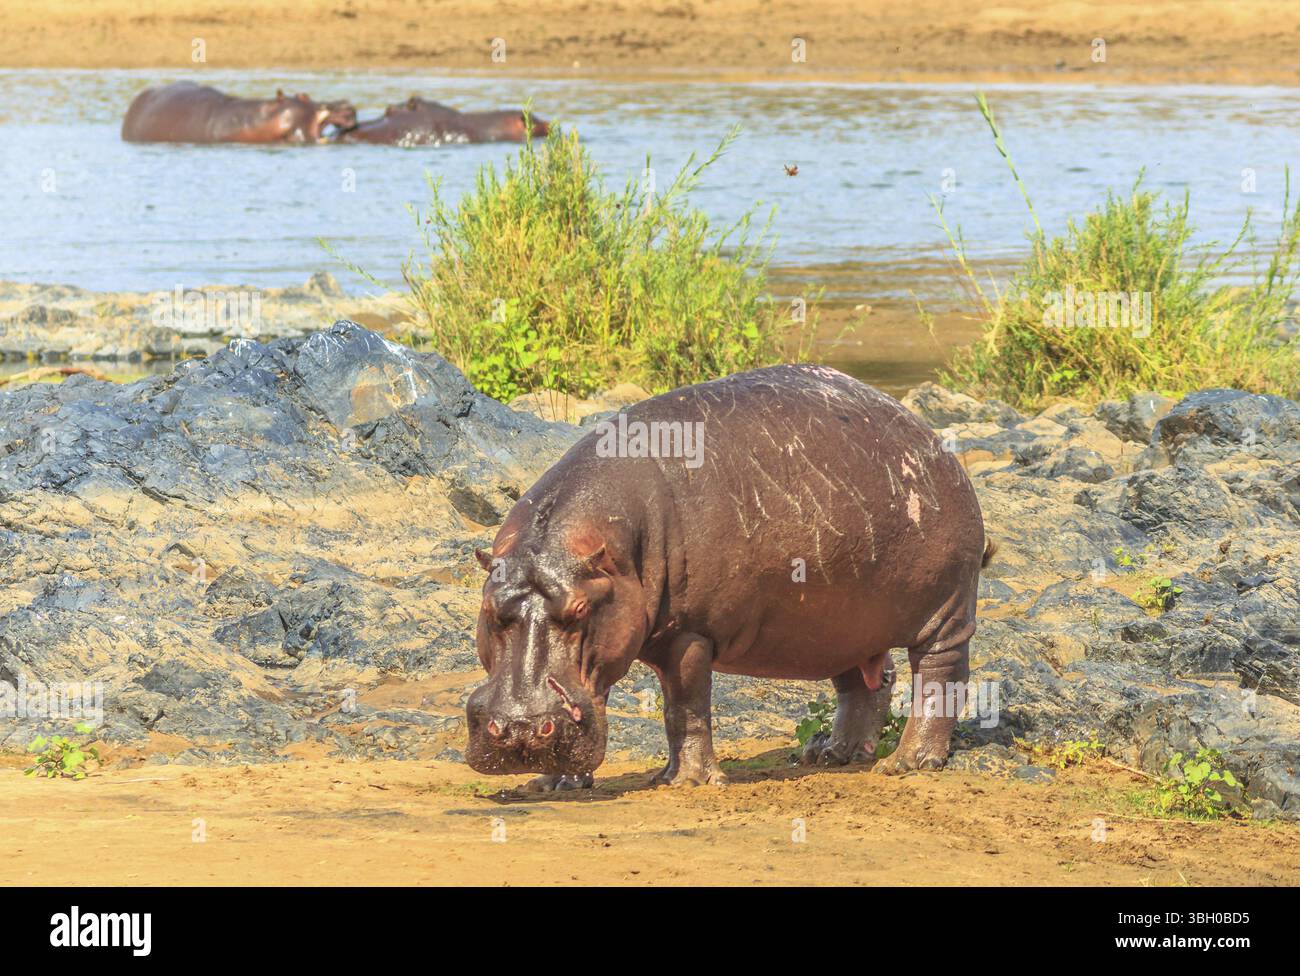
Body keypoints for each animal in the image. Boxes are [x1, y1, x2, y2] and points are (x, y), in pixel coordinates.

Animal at [465, 364, 993, 790]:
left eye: (579, 611)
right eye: (490, 610)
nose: (519, 730)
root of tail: (939, 447)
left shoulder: (689, 633)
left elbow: (684, 707)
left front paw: (687, 781)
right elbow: (596, 697)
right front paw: (551, 783)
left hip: (944, 610)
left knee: (939, 676)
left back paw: (909, 762)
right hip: (844, 621)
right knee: (867, 682)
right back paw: (830, 755)